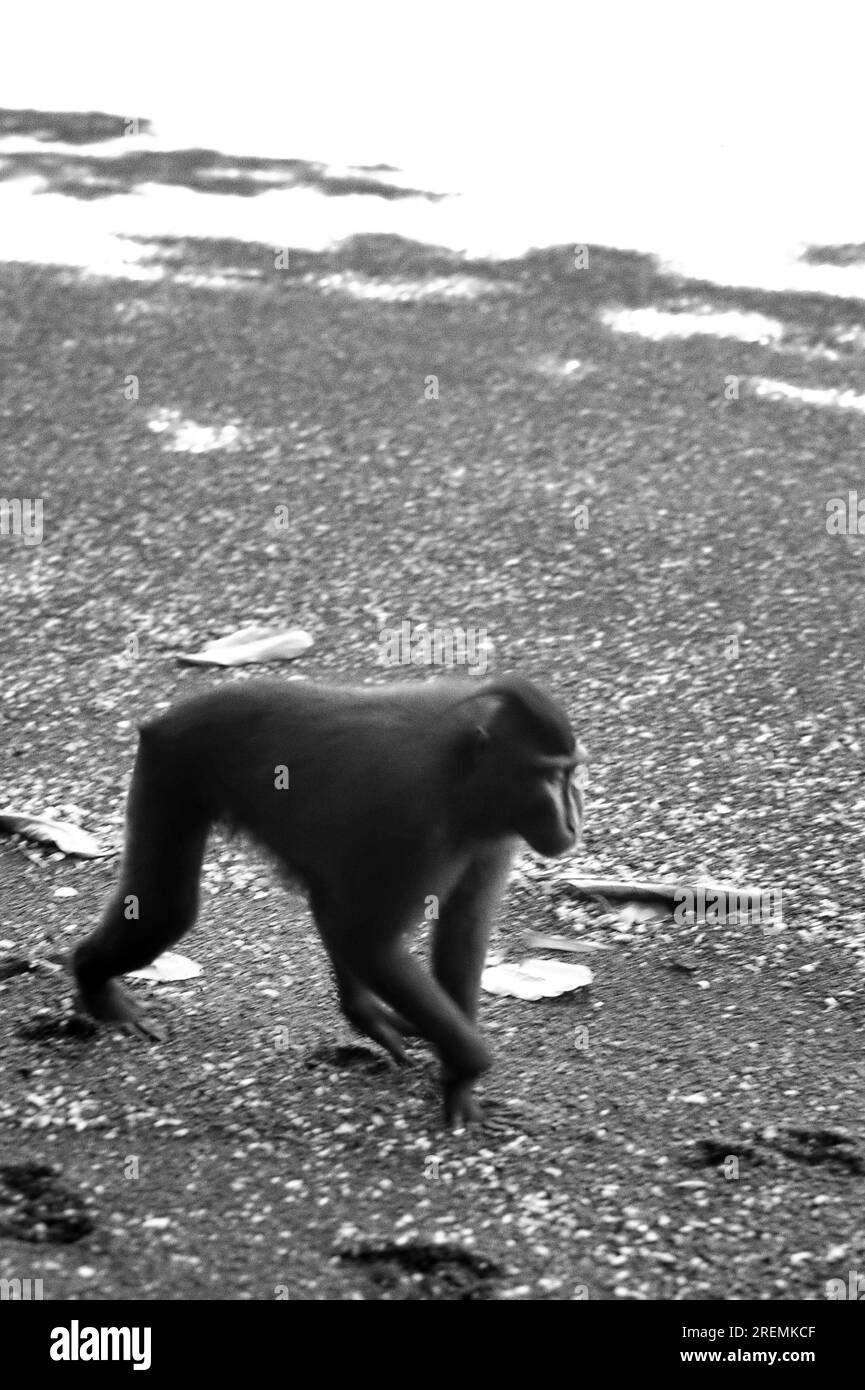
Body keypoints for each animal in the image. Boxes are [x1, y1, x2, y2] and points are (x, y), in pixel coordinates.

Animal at [73, 675, 585, 1127]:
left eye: (572, 773)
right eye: (550, 776)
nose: (574, 816)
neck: (467, 780)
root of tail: (173, 715)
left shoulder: (493, 836)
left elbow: (459, 933)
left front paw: (458, 1084)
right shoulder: (417, 825)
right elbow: (366, 941)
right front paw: (470, 1065)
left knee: (325, 900)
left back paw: (363, 1012)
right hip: (173, 766)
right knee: (167, 911)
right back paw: (93, 982)